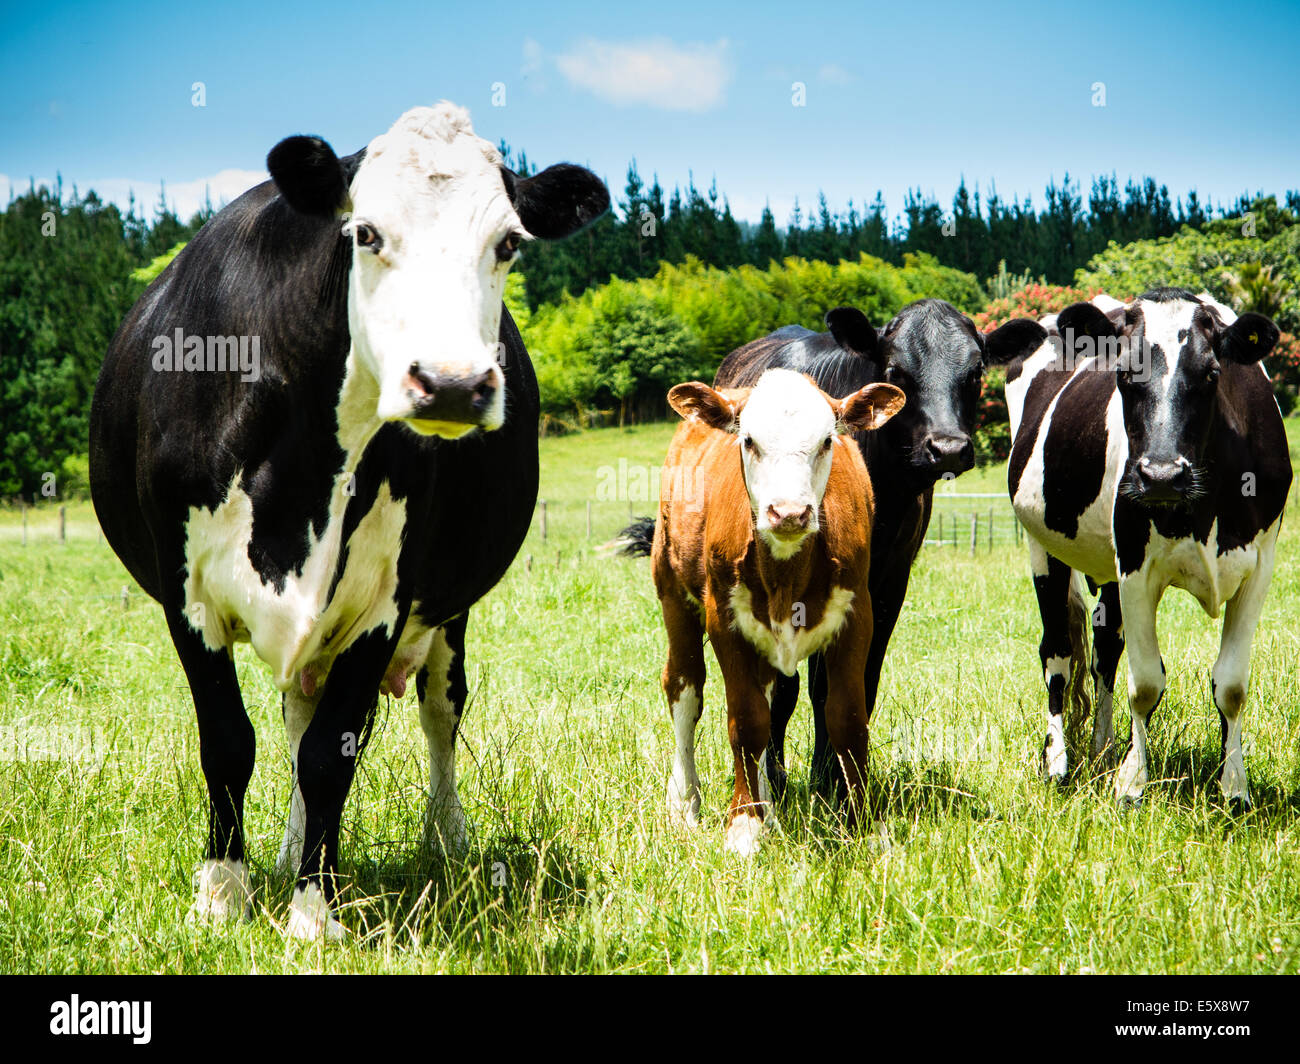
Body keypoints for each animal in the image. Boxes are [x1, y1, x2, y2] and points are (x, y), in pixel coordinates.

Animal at [88, 103, 608, 939]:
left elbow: (332, 758)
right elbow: (230, 743)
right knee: (298, 715)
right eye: (364, 233)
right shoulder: (185, 593)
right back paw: (284, 852)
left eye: (508, 243)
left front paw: (314, 910)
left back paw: (444, 838)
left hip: (447, 615)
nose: (453, 385)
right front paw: (222, 893)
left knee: (438, 713)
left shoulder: (384, 606)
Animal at [651, 368, 905, 853]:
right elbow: (746, 722)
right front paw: (743, 825)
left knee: (769, 697)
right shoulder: (724, 620)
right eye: (748, 440)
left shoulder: (857, 616)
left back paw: (768, 809)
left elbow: (847, 720)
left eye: (827, 441)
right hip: (672, 590)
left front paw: (865, 826)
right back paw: (684, 803)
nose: (788, 512)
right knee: (685, 691)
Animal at [708, 300, 1047, 798]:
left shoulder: (888, 581)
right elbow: (788, 685)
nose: (948, 448)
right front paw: (779, 776)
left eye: (975, 372)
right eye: (895, 371)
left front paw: (836, 776)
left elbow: (854, 681)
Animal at [1006, 287, 1291, 808]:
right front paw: (1133, 783)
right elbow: (1145, 684)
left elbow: (1231, 685)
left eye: (1212, 374)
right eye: (1122, 374)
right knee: (1057, 652)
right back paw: (1058, 762)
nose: (1161, 475)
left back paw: (1103, 750)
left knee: (1104, 651)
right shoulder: (1136, 567)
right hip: (1043, 546)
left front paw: (1234, 788)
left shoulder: (1260, 566)